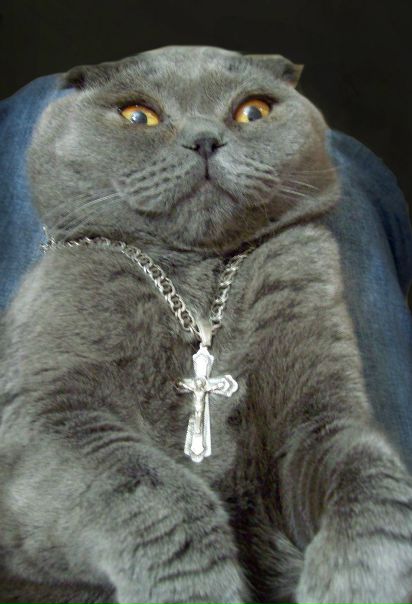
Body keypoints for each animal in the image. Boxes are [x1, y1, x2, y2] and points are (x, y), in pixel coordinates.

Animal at [1, 44, 412, 604]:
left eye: (253, 111)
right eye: (139, 116)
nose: (204, 139)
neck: (197, 284)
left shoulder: (318, 412)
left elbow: (369, 478)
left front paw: (358, 583)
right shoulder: (46, 417)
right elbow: (160, 498)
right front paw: (198, 593)